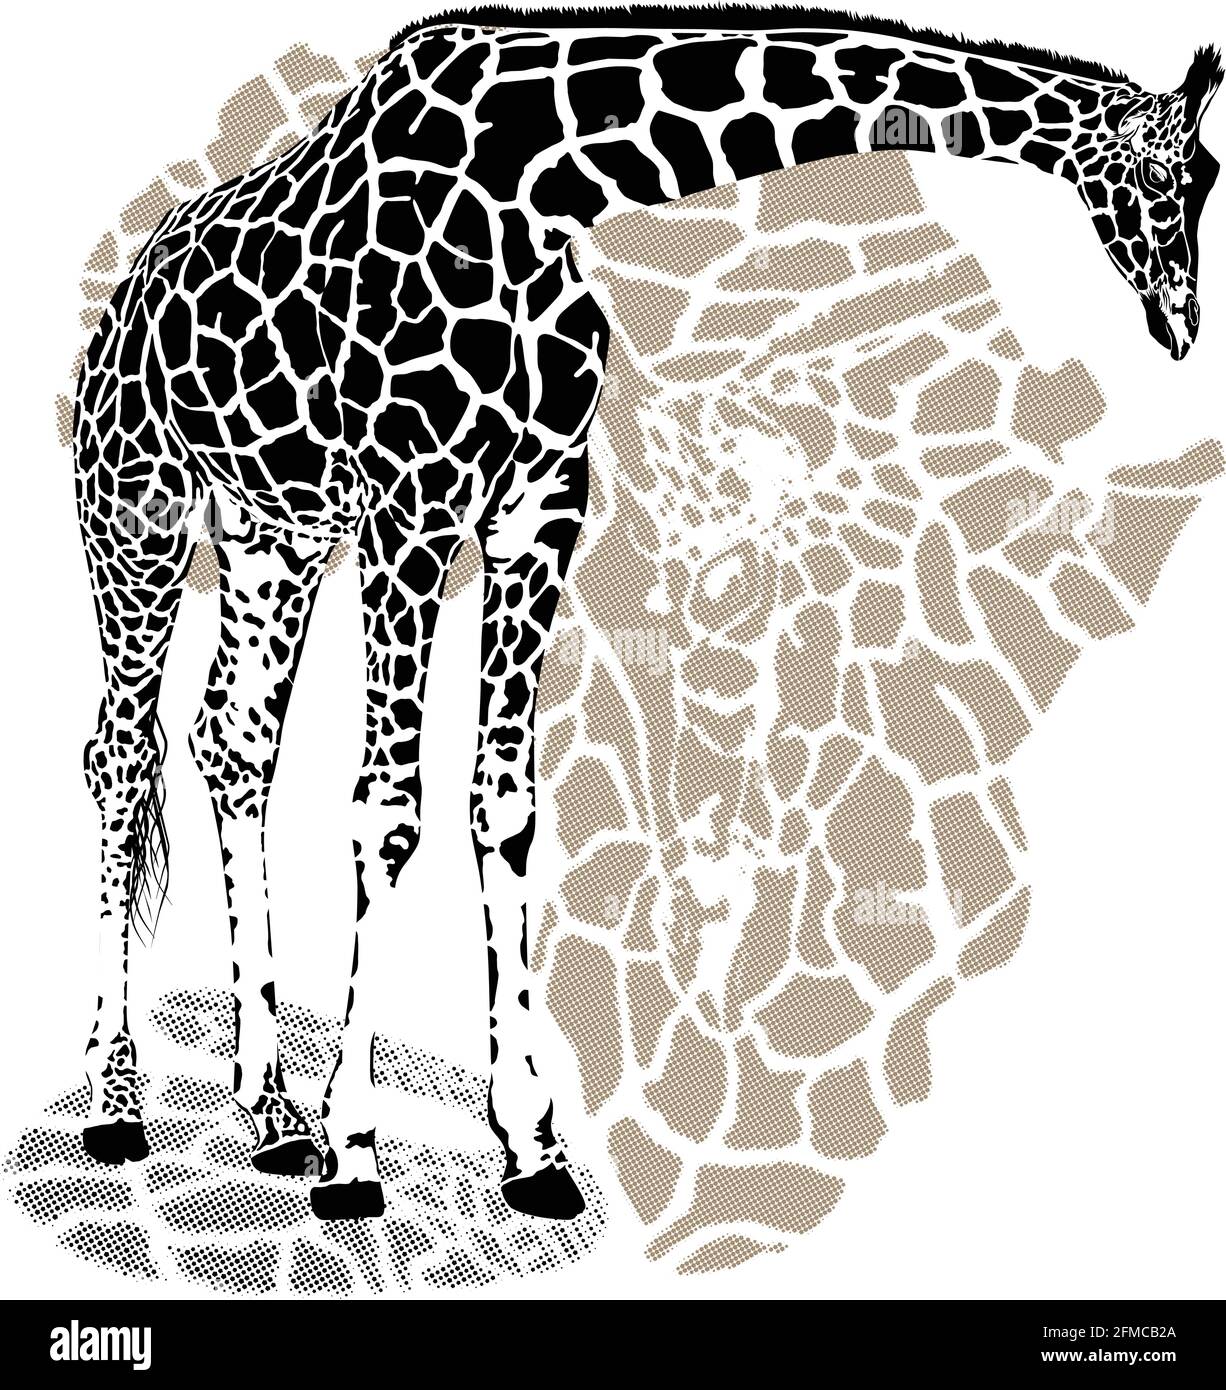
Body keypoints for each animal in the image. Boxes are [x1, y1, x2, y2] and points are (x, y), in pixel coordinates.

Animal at [73, 8, 1222, 1222]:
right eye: (1169, 180)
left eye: (1205, 179)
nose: (1181, 323)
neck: (540, 180)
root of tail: (114, 307)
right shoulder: (412, 509)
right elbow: (386, 814)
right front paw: (356, 1150)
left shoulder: (537, 513)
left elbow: (505, 809)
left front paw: (530, 1147)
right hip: (137, 515)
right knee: (121, 756)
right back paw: (120, 1100)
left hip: (271, 534)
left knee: (230, 743)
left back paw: (269, 1112)